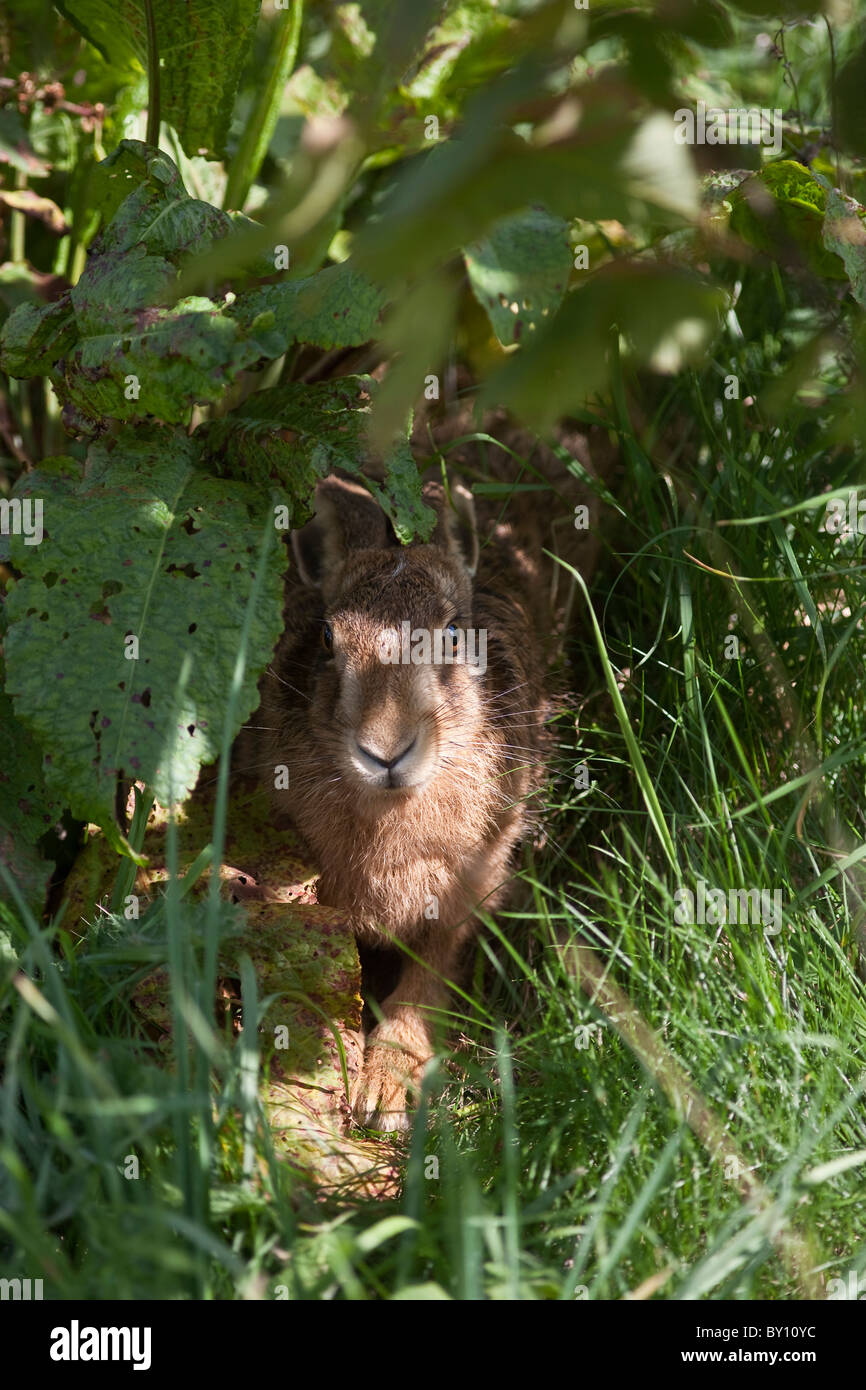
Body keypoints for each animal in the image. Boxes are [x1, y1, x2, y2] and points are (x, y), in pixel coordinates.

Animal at [257, 468, 560, 1131]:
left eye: (453, 633)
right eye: (327, 638)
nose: (385, 749)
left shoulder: (469, 891)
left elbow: (424, 980)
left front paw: (387, 1094)